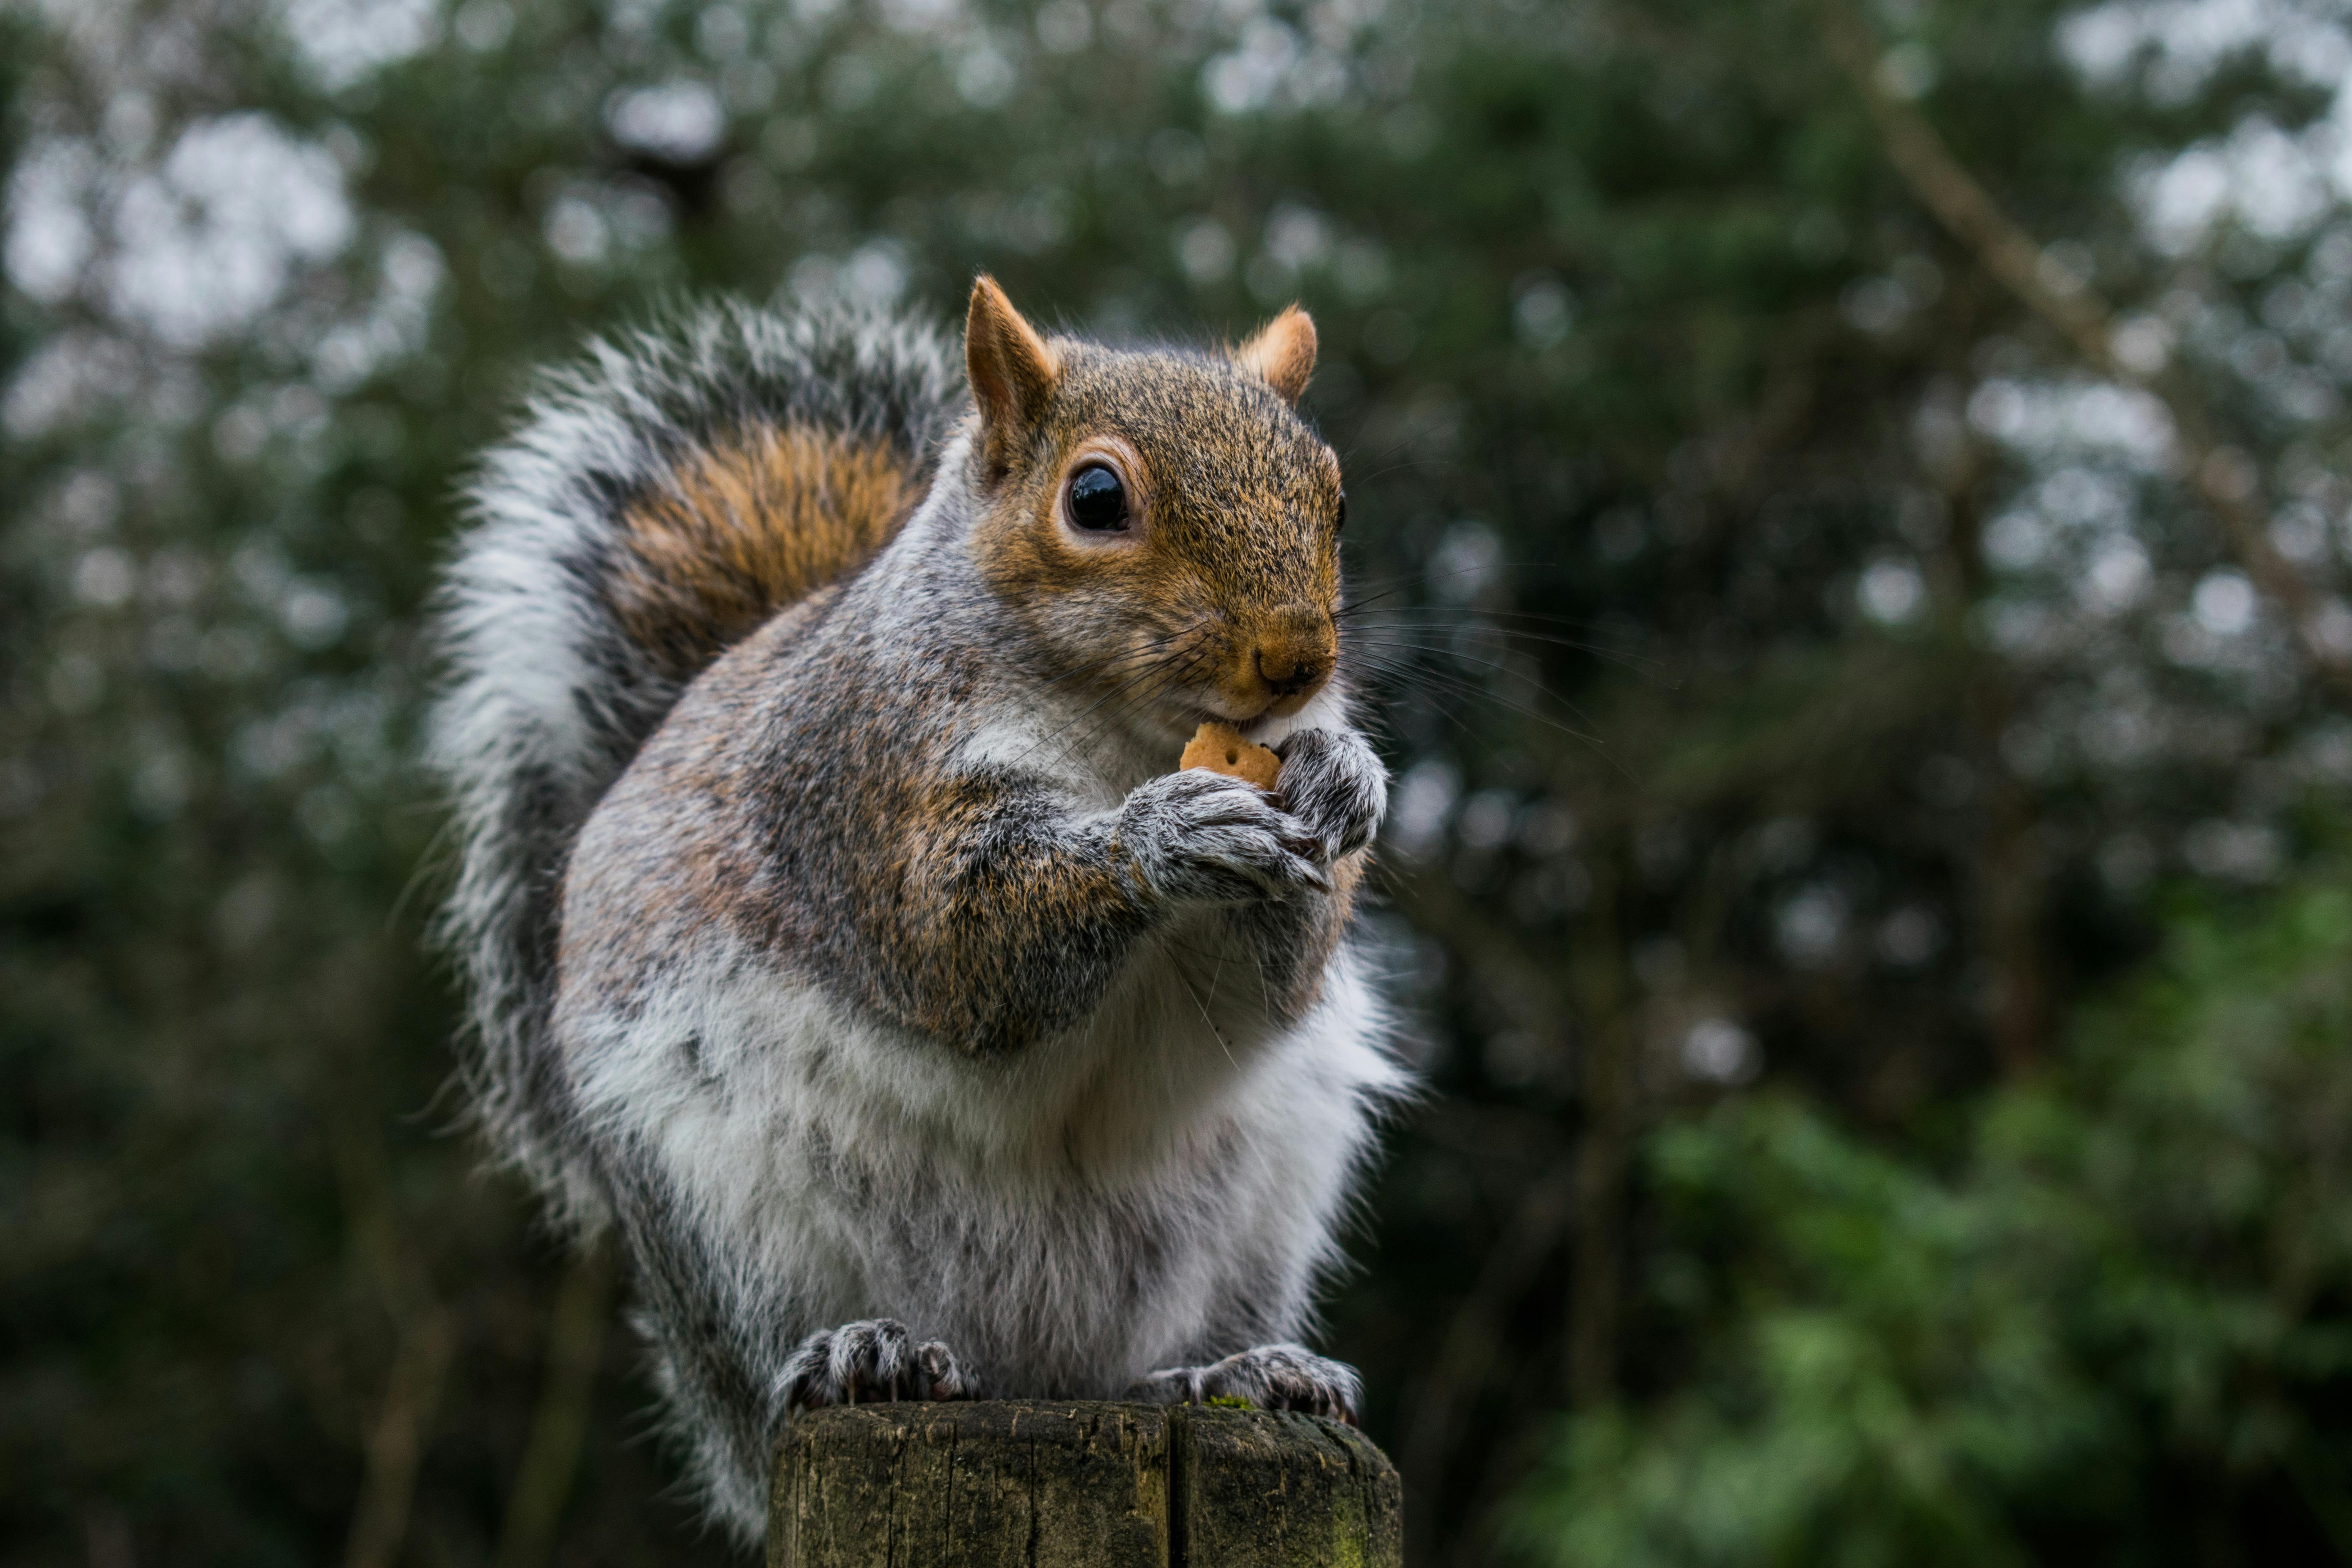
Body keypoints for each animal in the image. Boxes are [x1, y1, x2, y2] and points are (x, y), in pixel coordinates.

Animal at [429, 276, 1403, 1543]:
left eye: (1334, 496)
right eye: (1095, 497)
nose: (1295, 661)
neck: (1123, 733)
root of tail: (1026, 1375)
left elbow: (1273, 983)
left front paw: (1345, 771)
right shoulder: (863, 783)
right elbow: (961, 952)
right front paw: (1160, 837)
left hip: (1262, 1209)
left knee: (1150, 1357)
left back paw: (1230, 1372)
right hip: (718, 1220)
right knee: (764, 1385)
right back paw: (860, 1356)